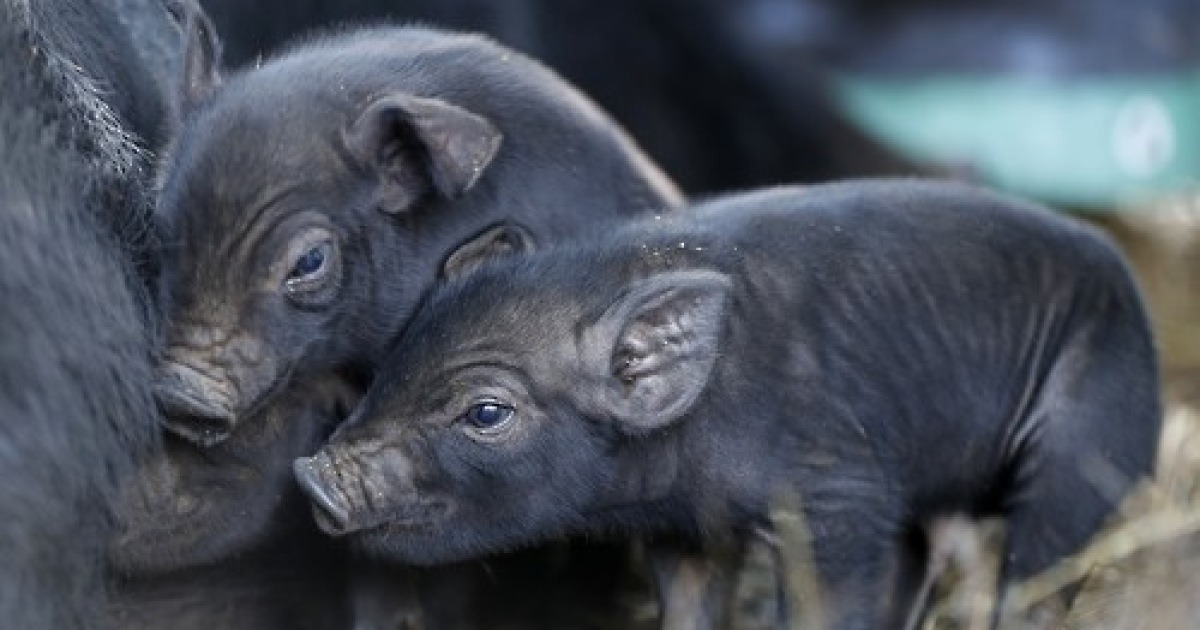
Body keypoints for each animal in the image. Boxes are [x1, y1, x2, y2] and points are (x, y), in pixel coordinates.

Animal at [296, 180, 1162, 629]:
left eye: (485, 412)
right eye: (396, 358)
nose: (312, 475)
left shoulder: (840, 494)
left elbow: (826, 606)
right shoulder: (686, 531)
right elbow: (688, 606)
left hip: (1089, 445)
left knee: (1042, 563)